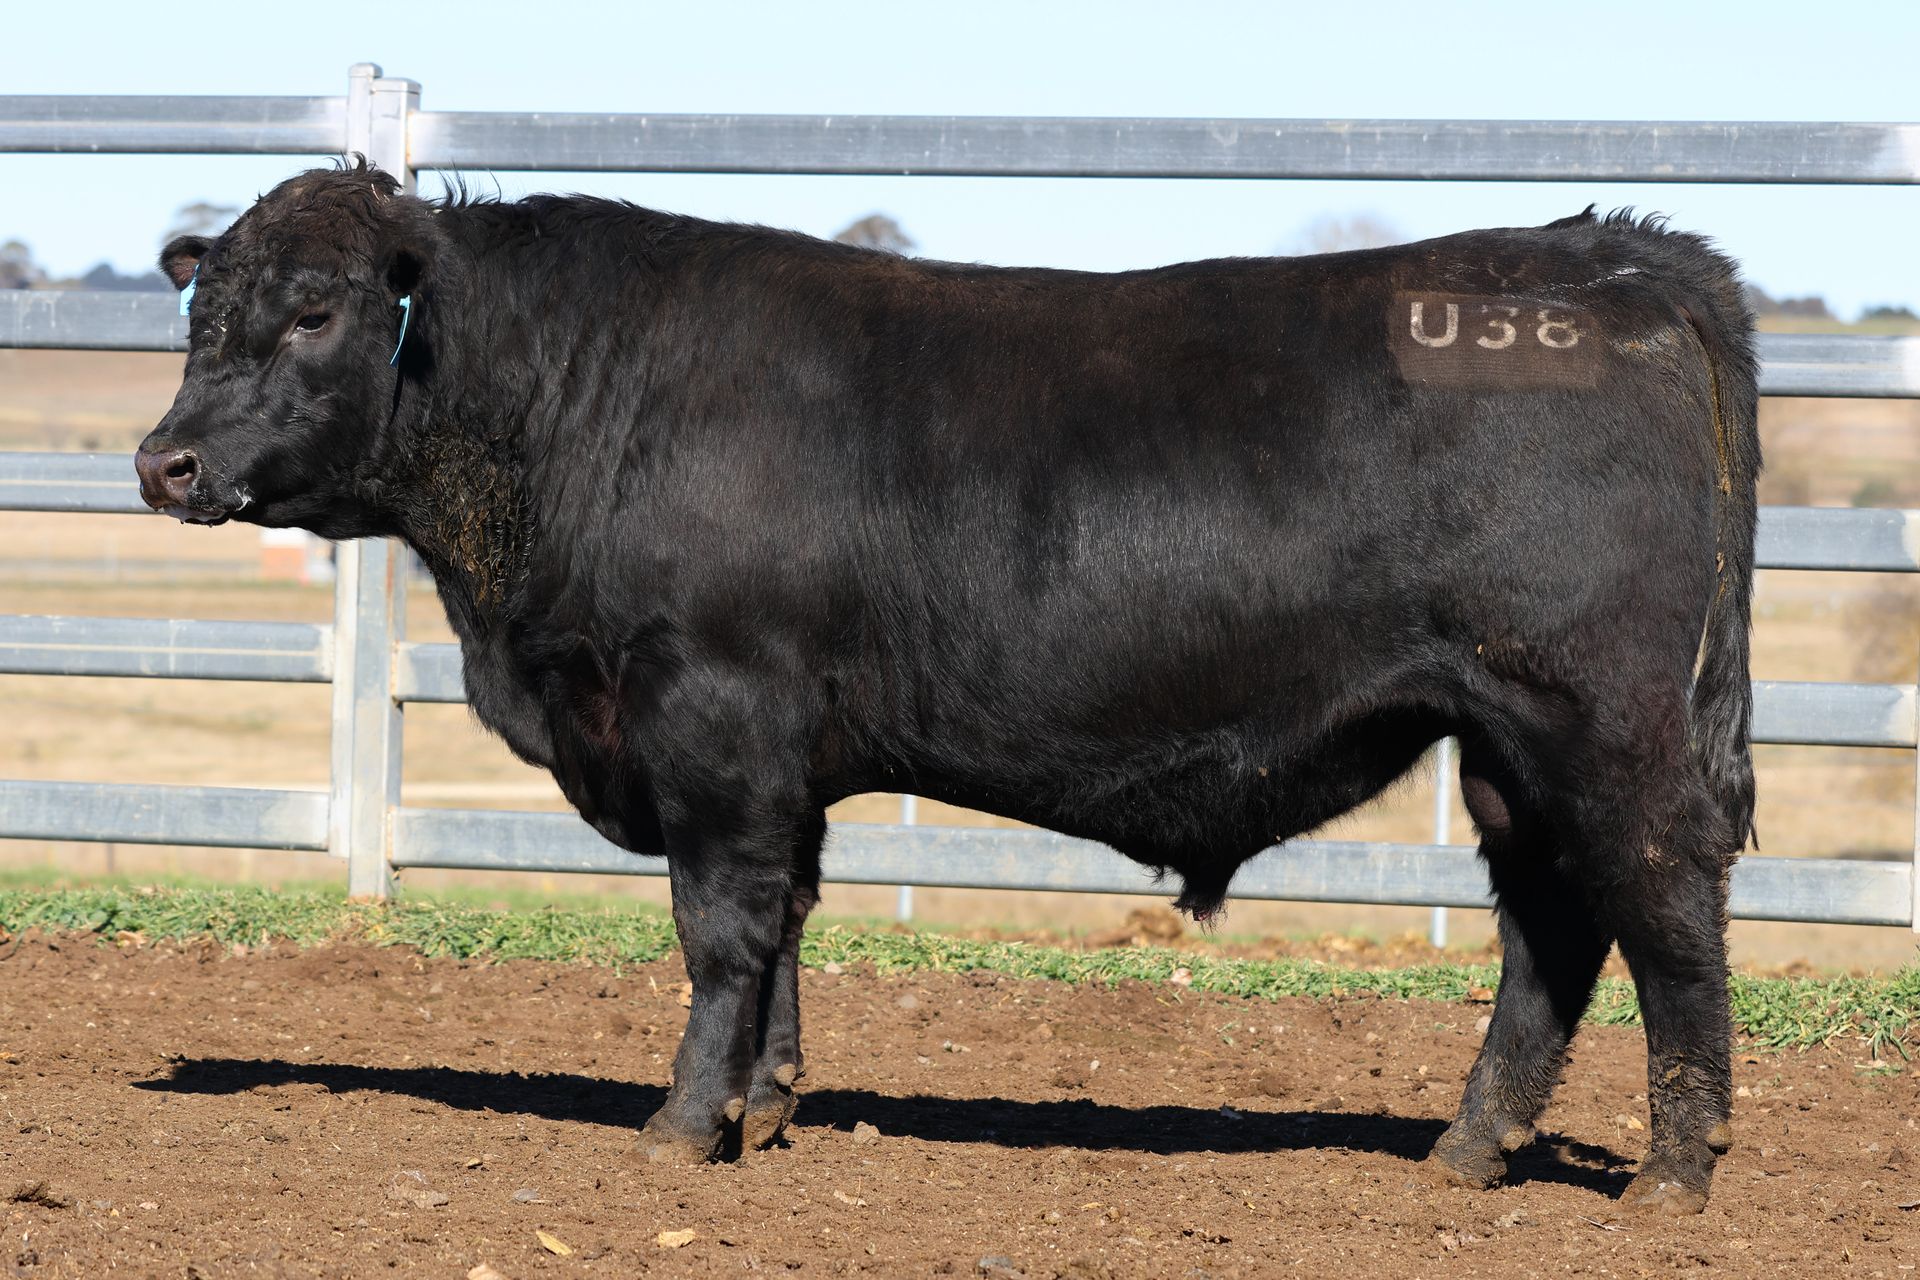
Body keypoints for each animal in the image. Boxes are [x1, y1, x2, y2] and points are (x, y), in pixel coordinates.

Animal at [135, 161, 1758, 1214]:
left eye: (315, 314)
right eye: (201, 312)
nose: (166, 463)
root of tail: (1611, 253)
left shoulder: (713, 723)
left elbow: (719, 932)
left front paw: (679, 1126)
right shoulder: (779, 766)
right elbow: (785, 928)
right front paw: (767, 1108)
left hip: (1602, 726)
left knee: (1668, 914)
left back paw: (1674, 1175)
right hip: (1501, 747)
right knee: (1551, 935)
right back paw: (1470, 1151)